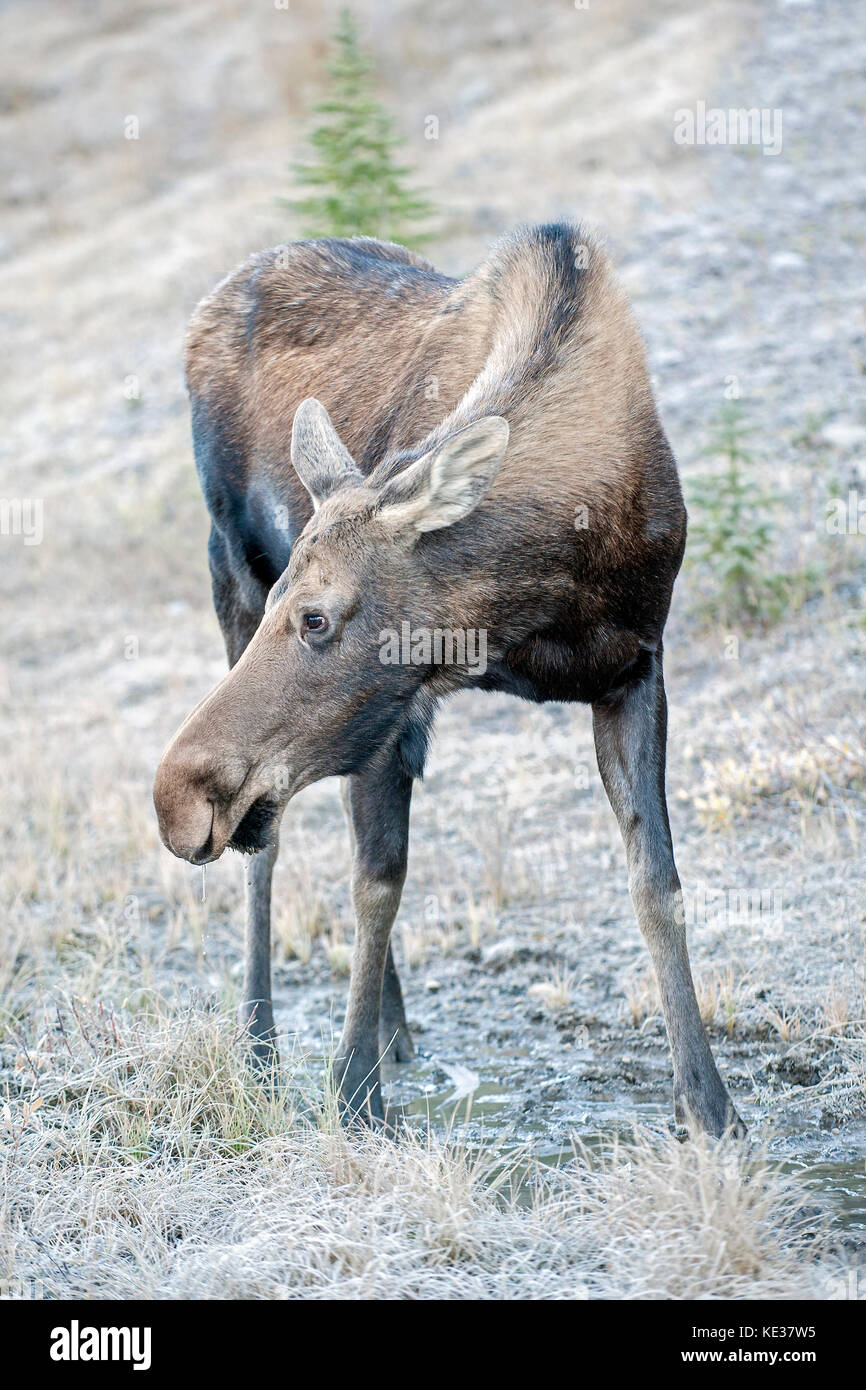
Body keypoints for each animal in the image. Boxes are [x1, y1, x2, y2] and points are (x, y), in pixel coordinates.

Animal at [153, 222, 746, 1139]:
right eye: (290, 602)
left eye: (316, 617)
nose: (175, 797)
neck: (536, 595)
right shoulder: (401, 697)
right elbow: (378, 880)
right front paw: (352, 1094)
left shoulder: (635, 667)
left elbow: (658, 882)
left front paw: (708, 1106)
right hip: (229, 578)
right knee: (274, 844)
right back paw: (259, 1044)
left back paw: (393, 1034)